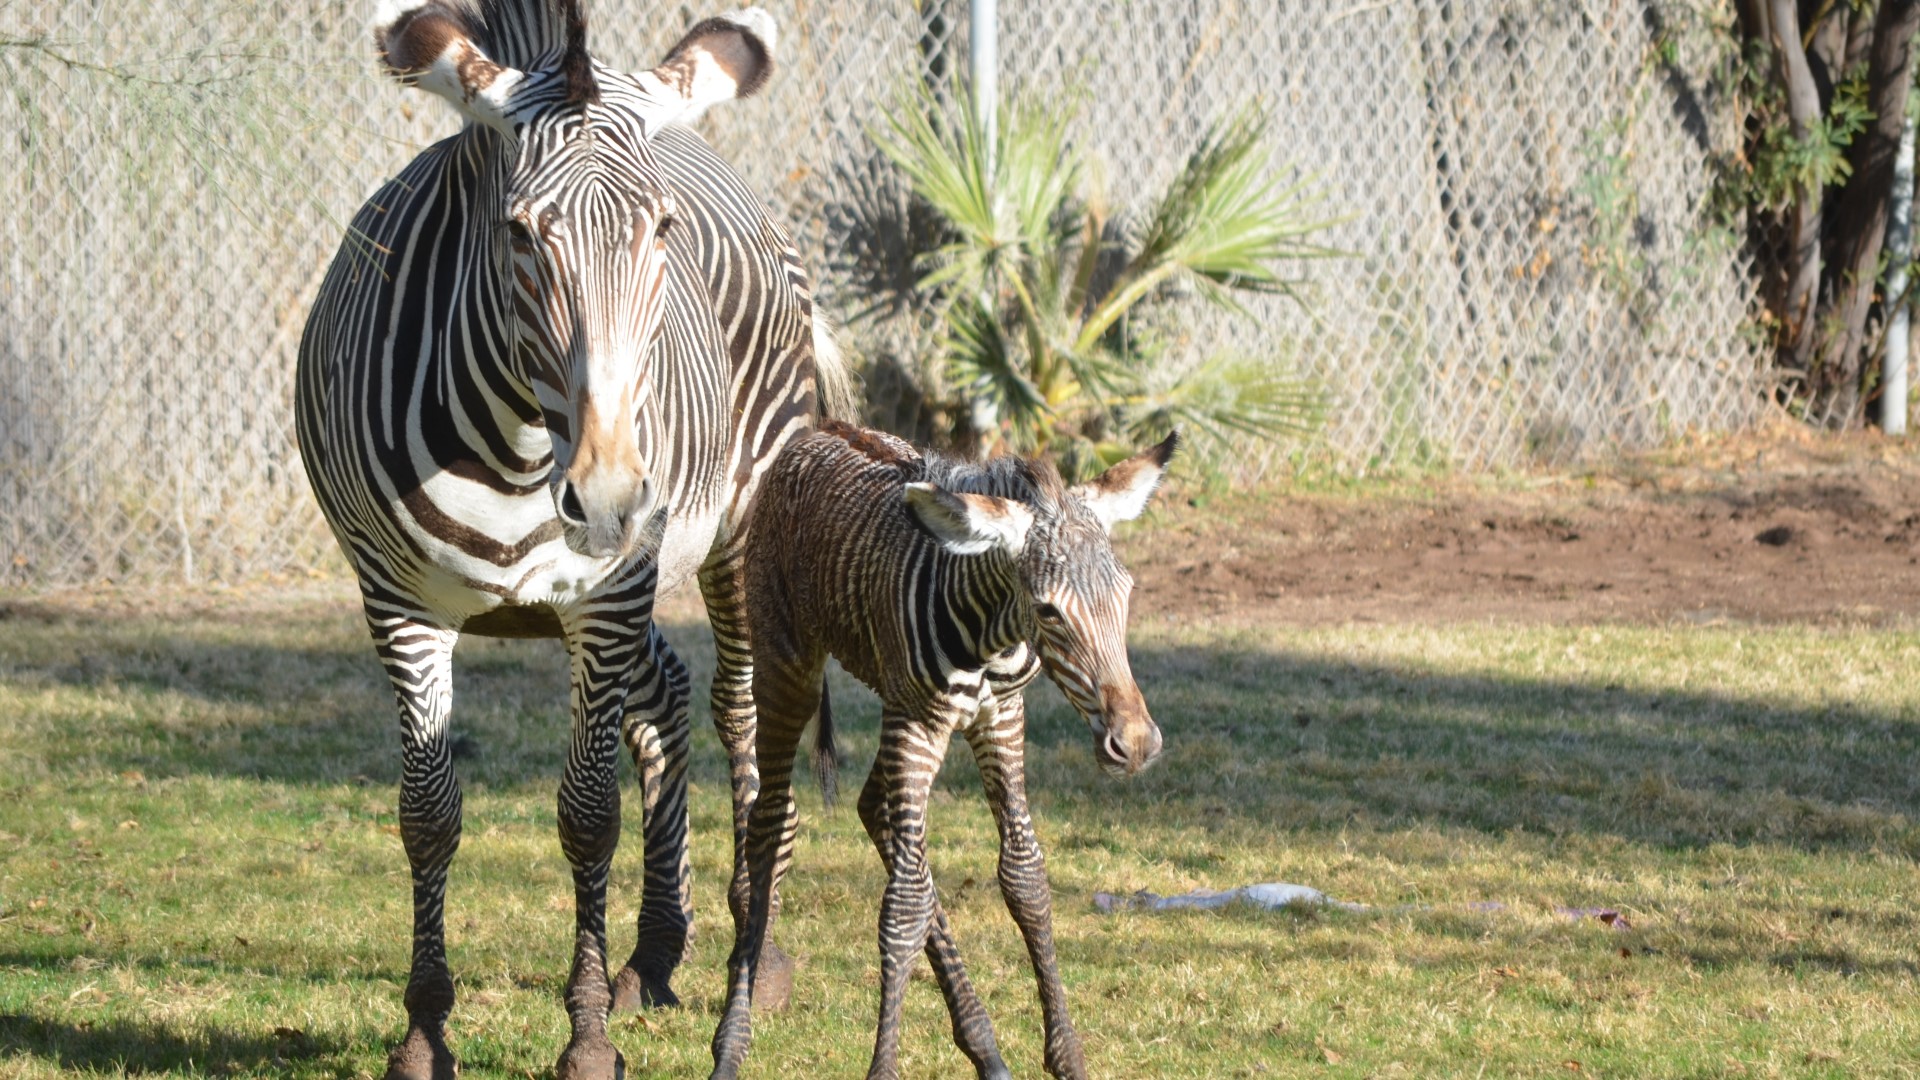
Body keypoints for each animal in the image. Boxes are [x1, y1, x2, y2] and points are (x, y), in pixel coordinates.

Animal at [295, 4, 846, 1077]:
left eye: (662, 231)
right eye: (516, 233)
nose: (607, 496)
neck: (516, 446)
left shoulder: (607, 595)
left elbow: (588, 817)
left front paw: (586, 1035)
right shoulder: (400, 602)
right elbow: (428, 816)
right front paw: (425, 1029)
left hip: (734, 533)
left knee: (742, 710)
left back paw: (753, 945)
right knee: (665, 695)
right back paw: (656, 950)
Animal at [707, 421, 1178, 1080]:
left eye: (1127, 594)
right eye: (1048, 611)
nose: (1134, 744)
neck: (990, 630)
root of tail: (820, 430)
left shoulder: (1001, 717)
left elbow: (1026, 880)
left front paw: (1066, 1056)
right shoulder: (920, 722)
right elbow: (904, 908)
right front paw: (882, 1069)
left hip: (892, 707)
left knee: (873, 809)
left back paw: (985, 1048)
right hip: (789, 667)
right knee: (771, 828)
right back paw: (732, 1041)